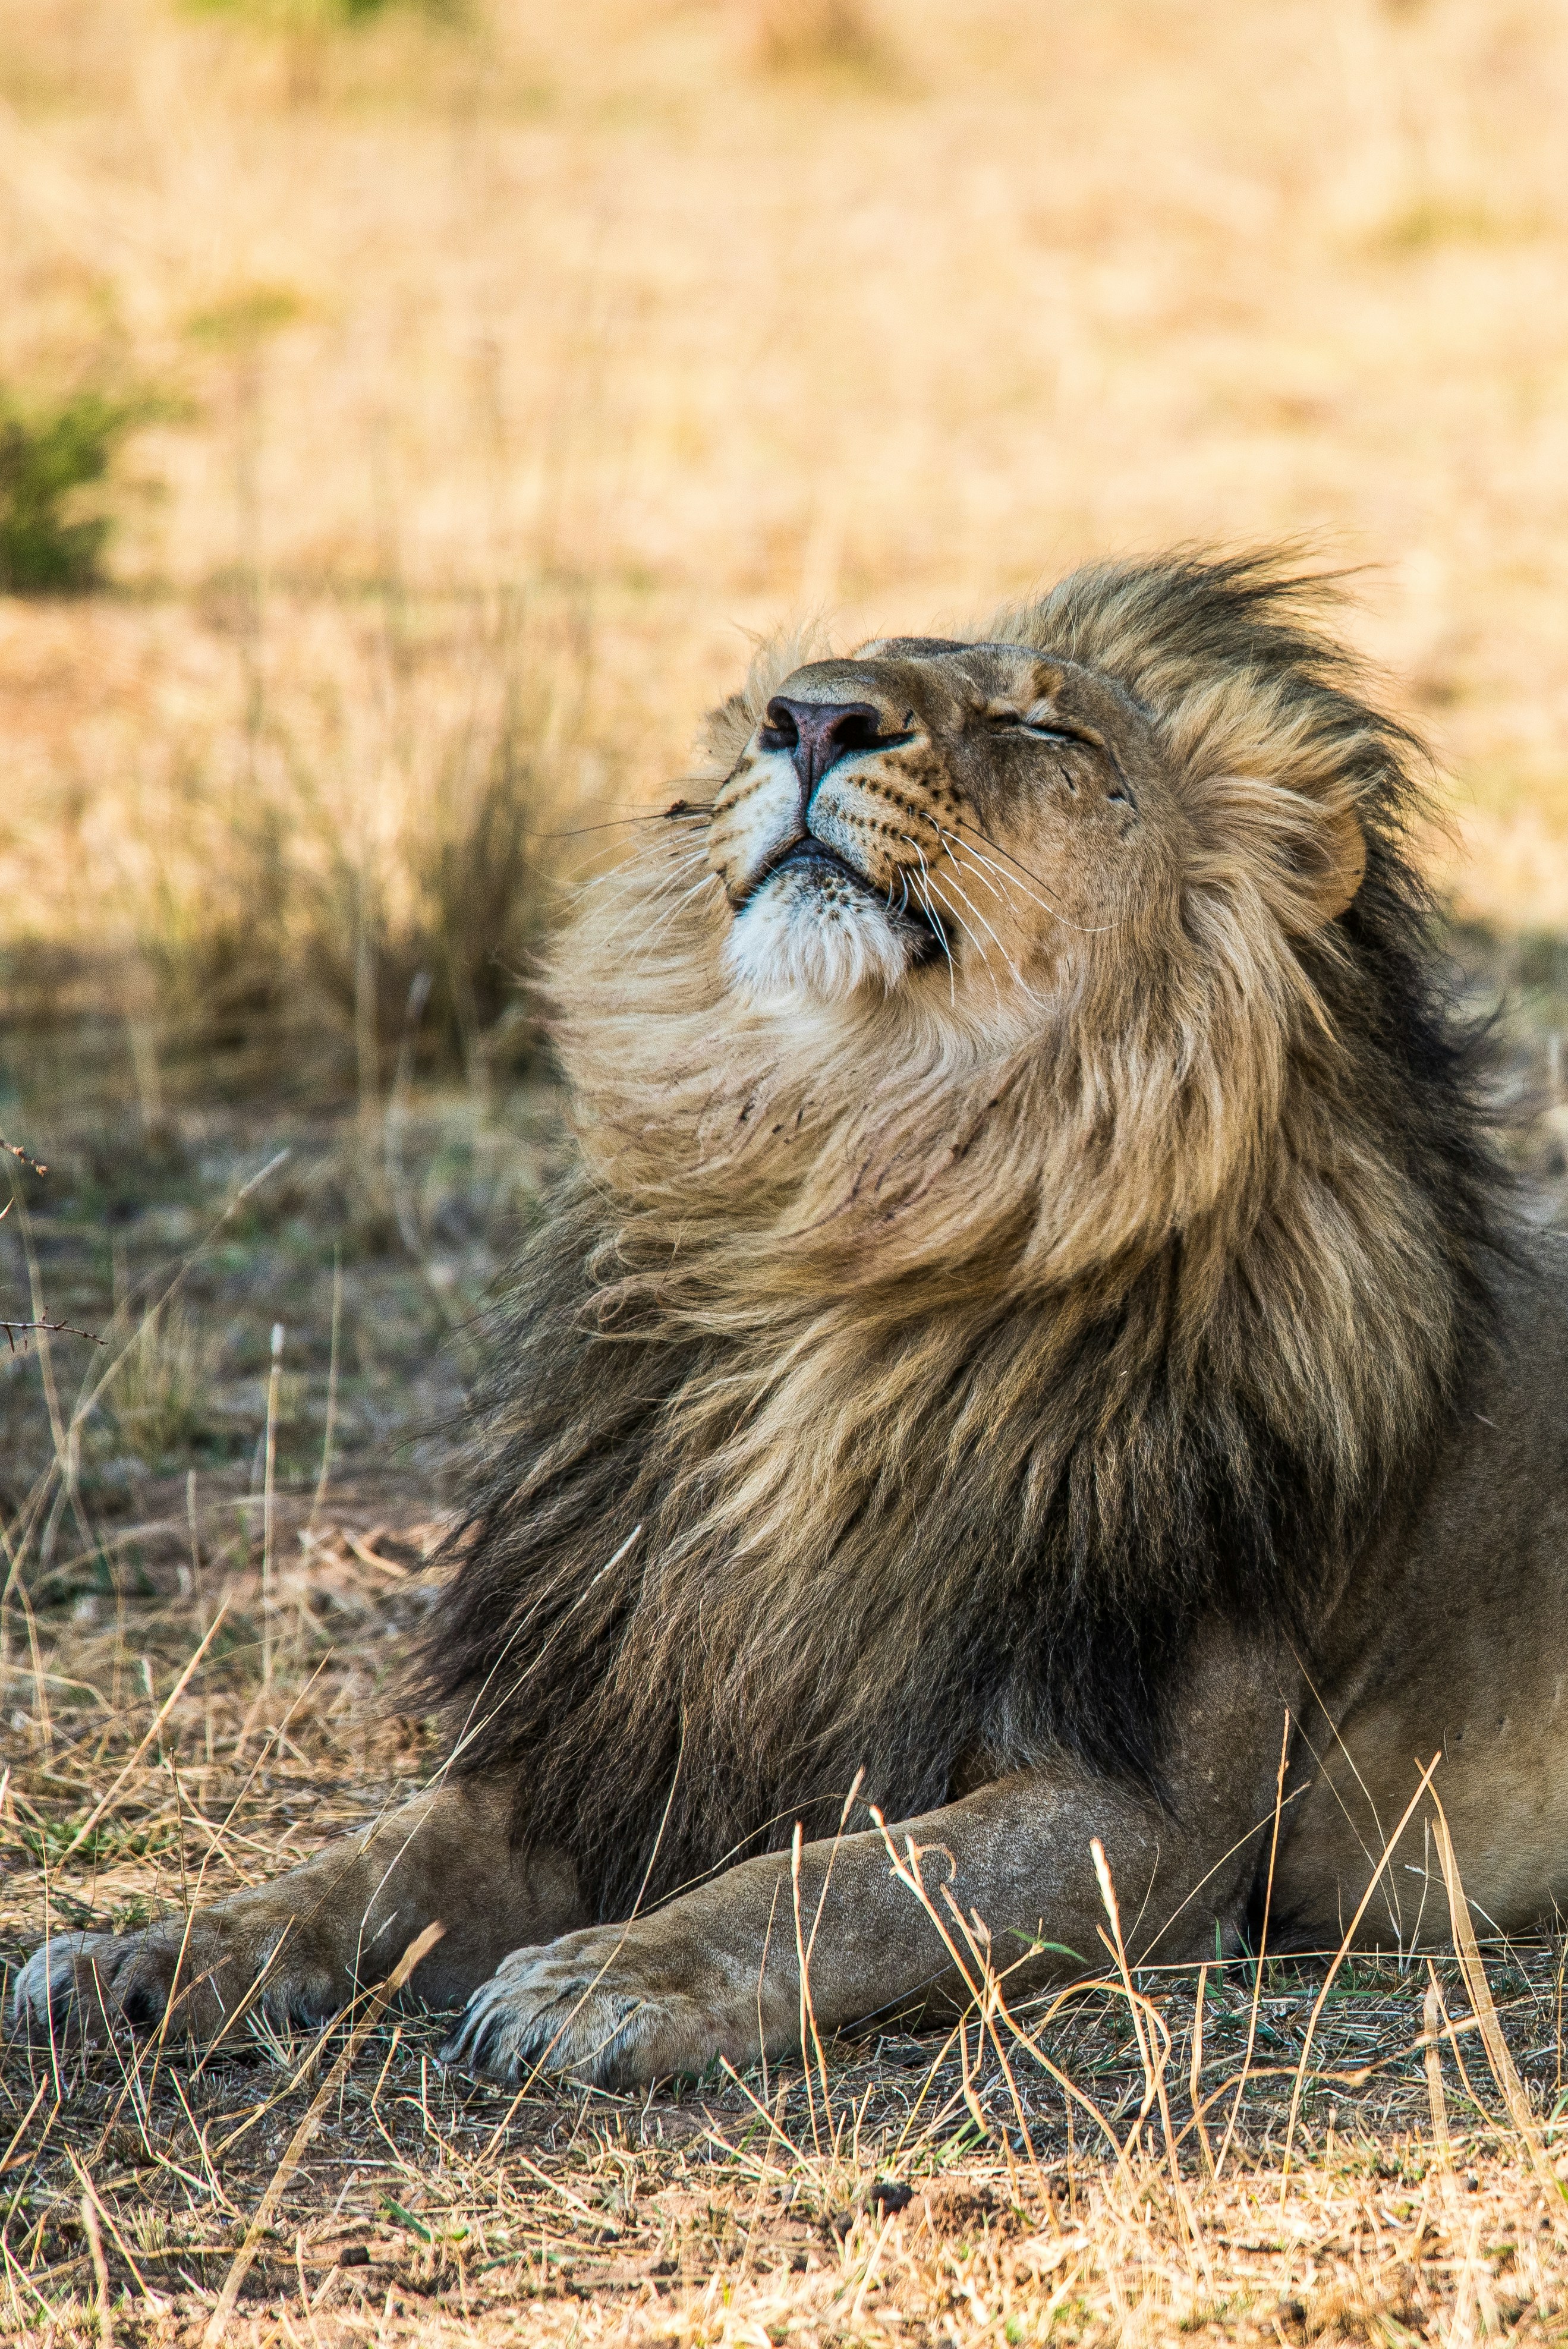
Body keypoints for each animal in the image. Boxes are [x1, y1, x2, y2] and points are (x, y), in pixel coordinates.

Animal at [15, 550, 1568, 2089]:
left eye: (1044, 728)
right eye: (795, 691)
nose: (812, 718)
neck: (847, 1216)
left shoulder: (1149, 1819)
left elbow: (837, 1882)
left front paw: (604, 1977)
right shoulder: (616, 1719)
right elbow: (357, 1865)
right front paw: (141, 1952)